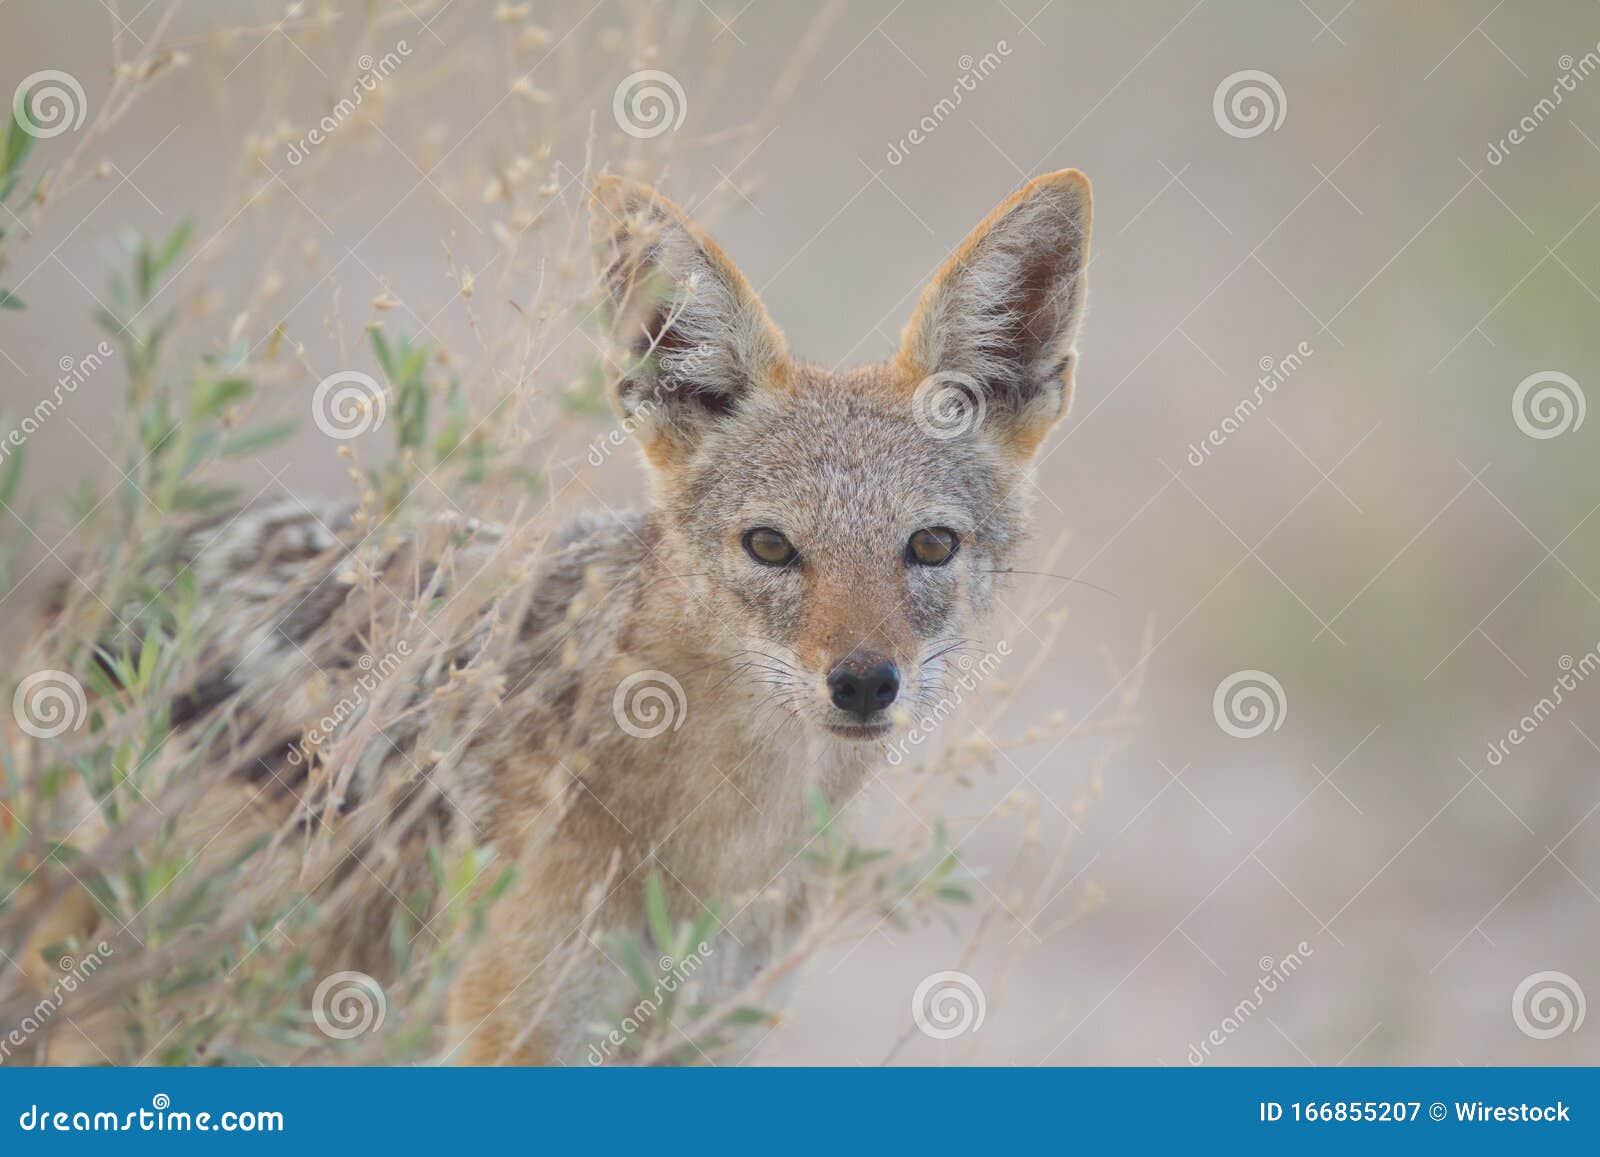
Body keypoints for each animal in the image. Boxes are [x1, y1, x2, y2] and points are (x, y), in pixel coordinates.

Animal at [8, 167, 1091, 1065]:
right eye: (771, 547)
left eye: (930, 546)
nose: (865, 682)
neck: (717, 836)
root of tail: (84, 583)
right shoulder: (519, 1037)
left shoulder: (703, 1040)